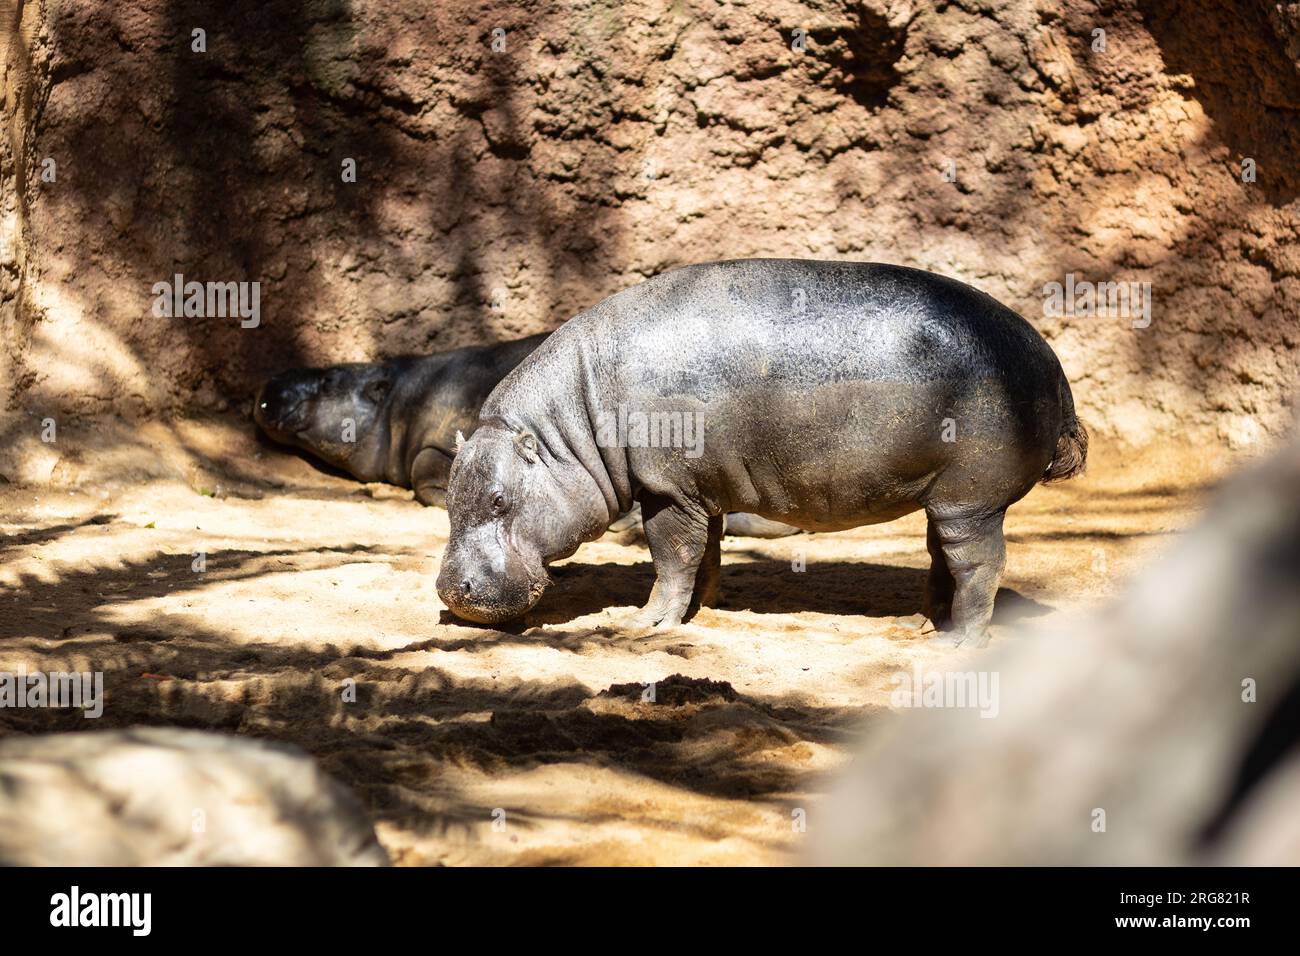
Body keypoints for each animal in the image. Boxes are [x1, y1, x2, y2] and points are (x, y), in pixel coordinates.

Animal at [436, 259, 1088, 646]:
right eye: (447, 497)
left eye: (499, 499)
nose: (448, 593)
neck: (568, 428)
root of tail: (1056, 371)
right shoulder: (699, 489)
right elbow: (705, 553)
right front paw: (703, 609)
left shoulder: (666, 489)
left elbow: (671, 557)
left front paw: (646, 625)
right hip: (946, 499)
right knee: (941, 561)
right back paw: (920, 625)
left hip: (970, 501)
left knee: (978, 566)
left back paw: (957, 641)